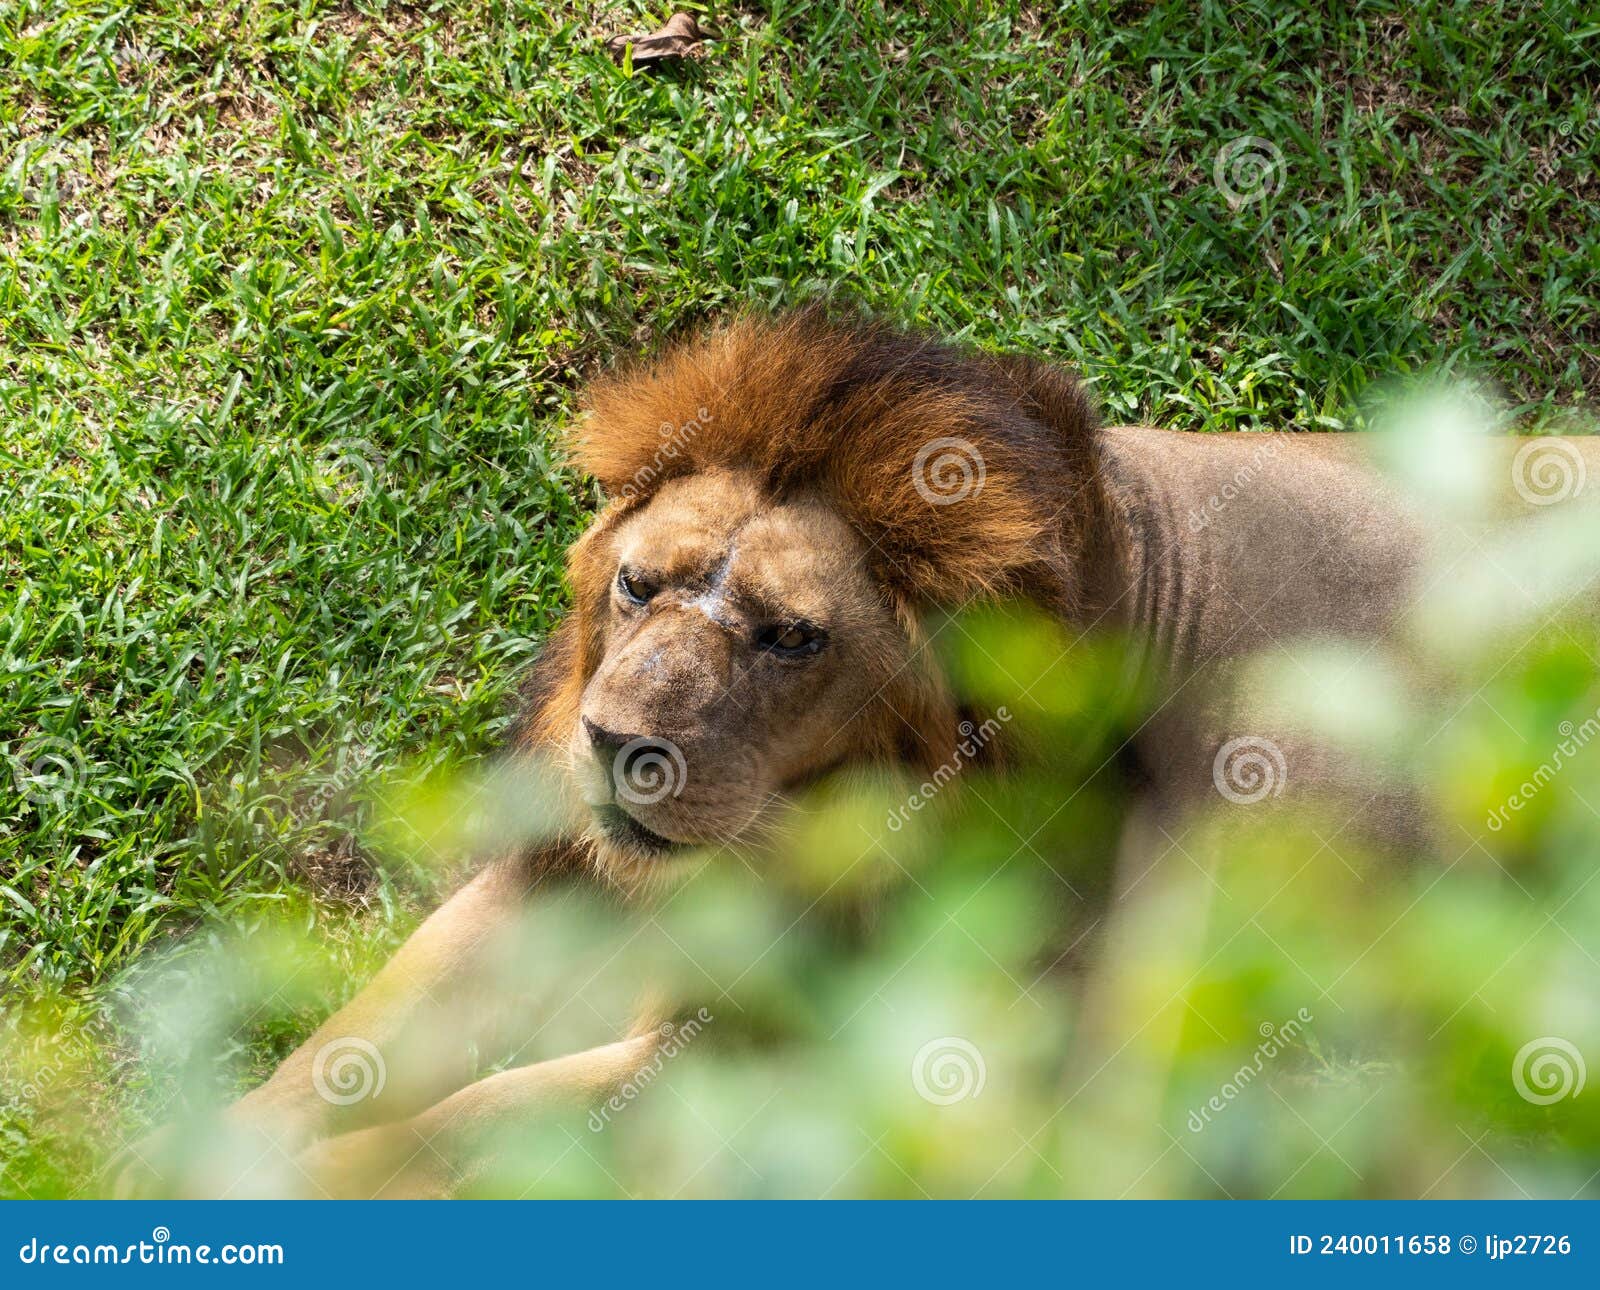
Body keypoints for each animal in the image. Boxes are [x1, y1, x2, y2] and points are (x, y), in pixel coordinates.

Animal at [116, 308, 1600, 1197]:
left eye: (790, 638)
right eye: (640, 586)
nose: (614, 742)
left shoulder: (799, 1049)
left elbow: (476, 1117)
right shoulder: (575, 873)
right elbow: (367, 1034)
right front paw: (207, 1144)